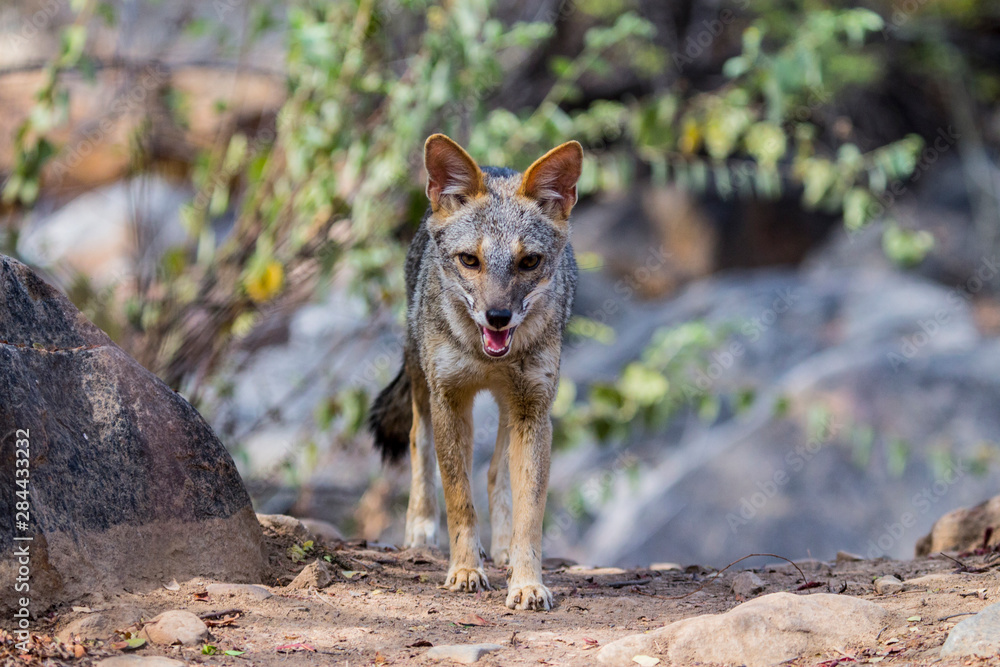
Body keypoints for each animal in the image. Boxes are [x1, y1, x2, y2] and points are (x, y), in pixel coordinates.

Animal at [368, 133, 583, 610]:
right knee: (418, 441)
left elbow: (529, 511)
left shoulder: (533, 409)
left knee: (496, 472)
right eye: (470, 260)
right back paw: (421, 528)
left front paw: (526, 581)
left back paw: (500, 546)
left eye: (528, 262)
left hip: (510, 408)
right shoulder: (450, 400)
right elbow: (459, 499)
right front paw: (465, 569)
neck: (489, 361)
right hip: (421, 379)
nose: (498, 317)